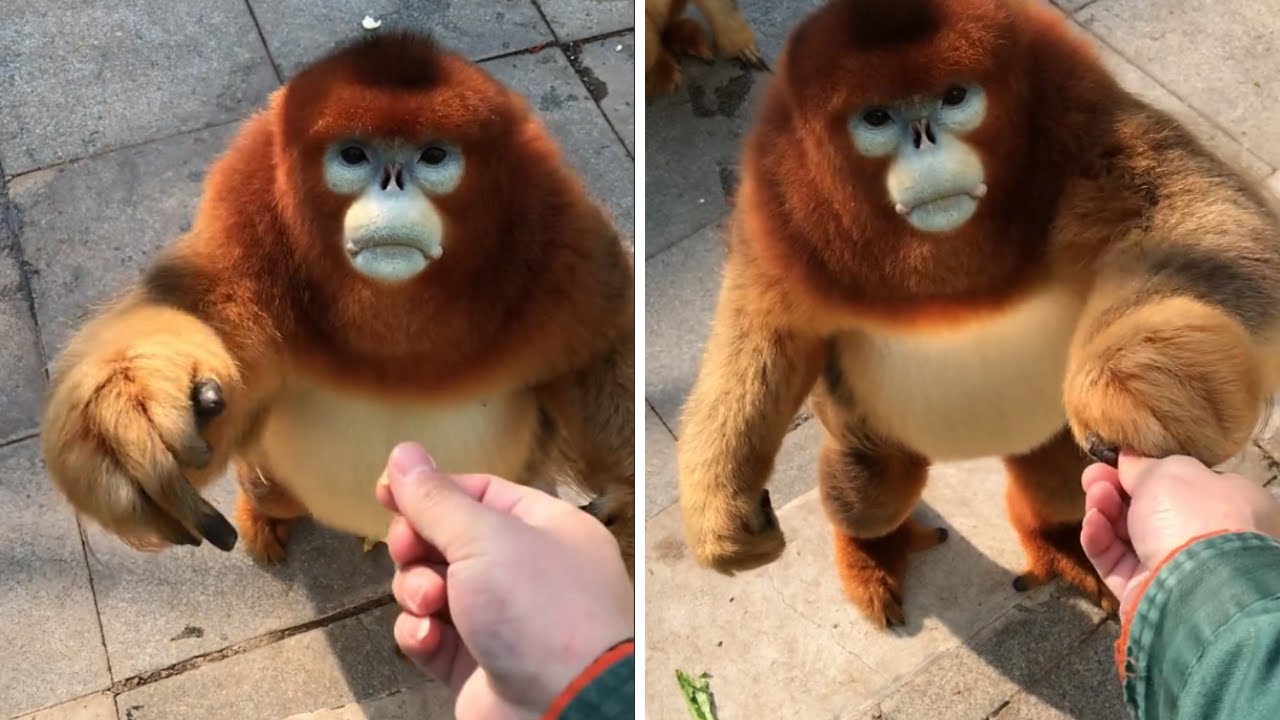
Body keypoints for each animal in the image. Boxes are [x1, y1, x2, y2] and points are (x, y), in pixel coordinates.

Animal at [39, 31, 636, 576]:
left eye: (433, 156)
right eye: (353, 155)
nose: (393, 186)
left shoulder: (565, 243)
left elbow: (600, 353)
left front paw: (623, 519)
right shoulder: (244, 229)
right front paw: (129, 405)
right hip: (274, 475)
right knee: (268, 484)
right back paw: (263, 515)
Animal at [675, 0, 1280, 628]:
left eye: (955, 97)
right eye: (877, 118)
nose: (924, 141)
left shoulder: (1084, 120)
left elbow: (1203, 220)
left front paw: (1141, 390)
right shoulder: (778, 201)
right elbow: (761, 327)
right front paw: (718, 510)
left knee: (1059, 484)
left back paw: (1059, 540)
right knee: (870, 494)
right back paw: (872, 549)